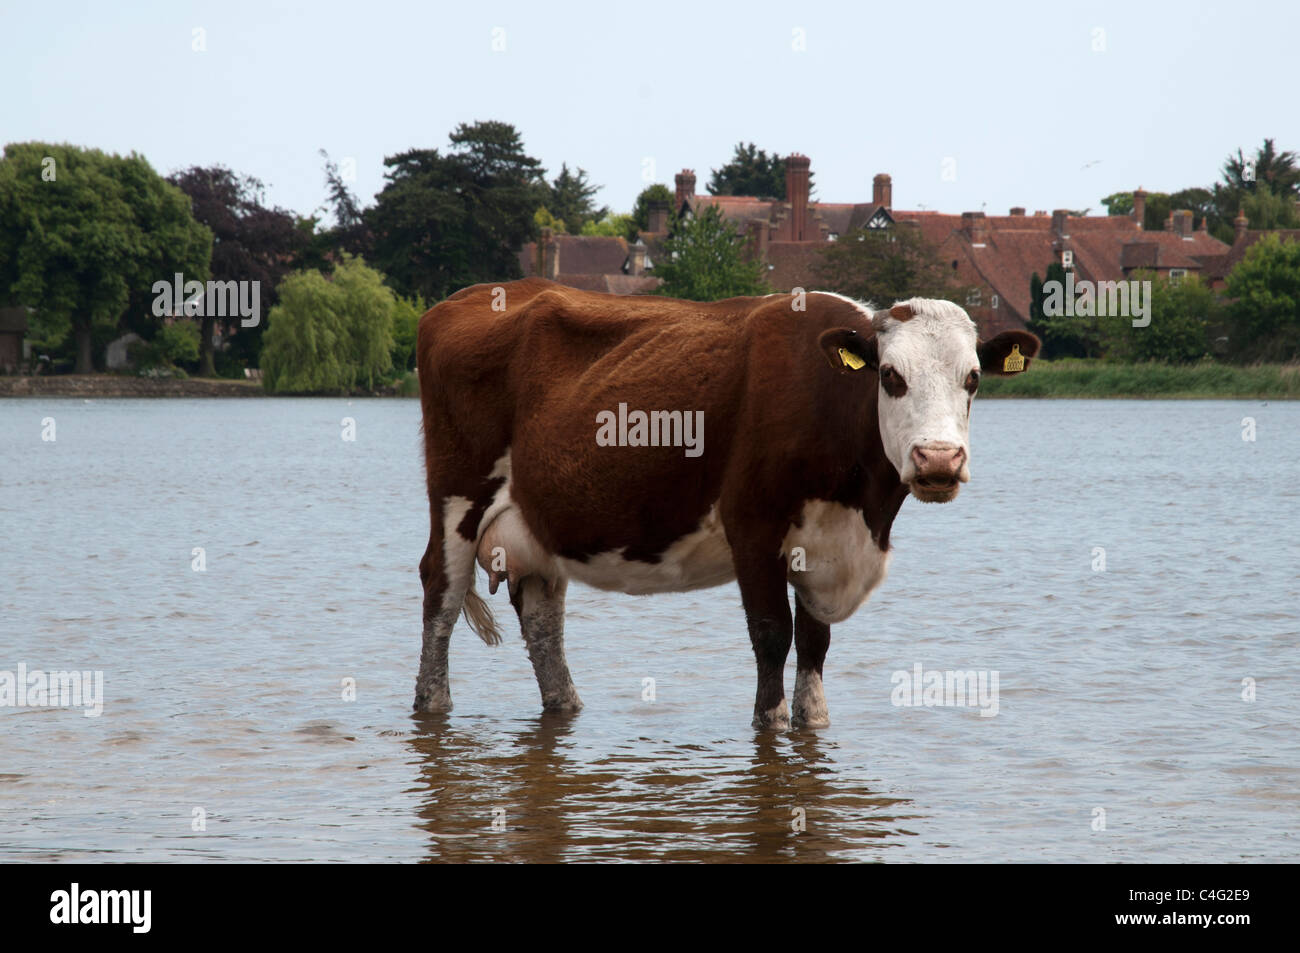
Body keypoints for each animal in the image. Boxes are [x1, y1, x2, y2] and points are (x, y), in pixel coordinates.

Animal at [414, 278, 1038, 729]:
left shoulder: (824, 546)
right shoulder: (752, 526)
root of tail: (466, 296)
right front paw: (770, 721)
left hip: (539, 521)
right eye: (890, 375)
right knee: (440, 594)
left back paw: (565, 704)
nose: (939, 460)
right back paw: (432, 703)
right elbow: (772, 635)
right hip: (457, 495)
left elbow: (815, 645)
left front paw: (812, 721)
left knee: (543, 619)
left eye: (973, 378)